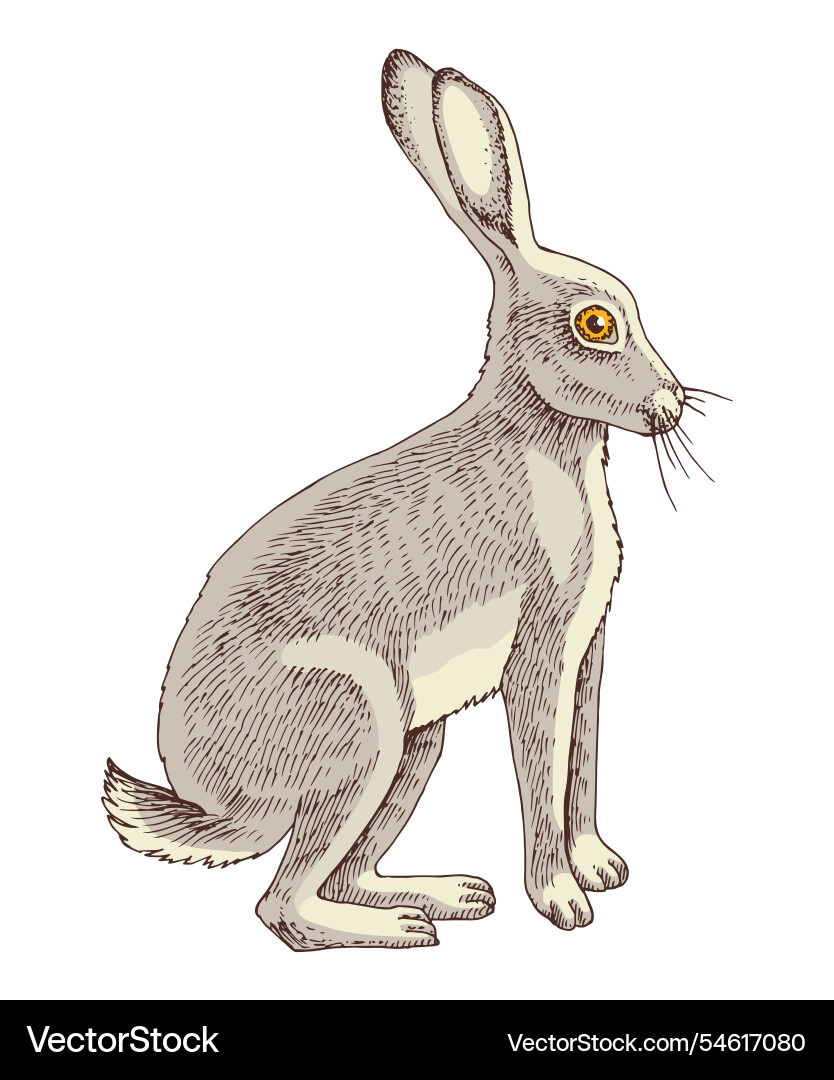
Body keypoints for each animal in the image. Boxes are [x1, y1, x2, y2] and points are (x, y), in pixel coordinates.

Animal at [103, 48, 685, 951]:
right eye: (596, 325)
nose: (673, 403)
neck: (543, 436)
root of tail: (213, 802)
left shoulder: (587, 650)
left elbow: (582, 765)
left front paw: (600, 867)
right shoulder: (542, 652)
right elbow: (543, 771)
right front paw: (563, 902)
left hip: (415, 743)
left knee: (335, 875)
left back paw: (450, 895)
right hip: (361, 723)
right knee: (282, 906)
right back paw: (412, 930)